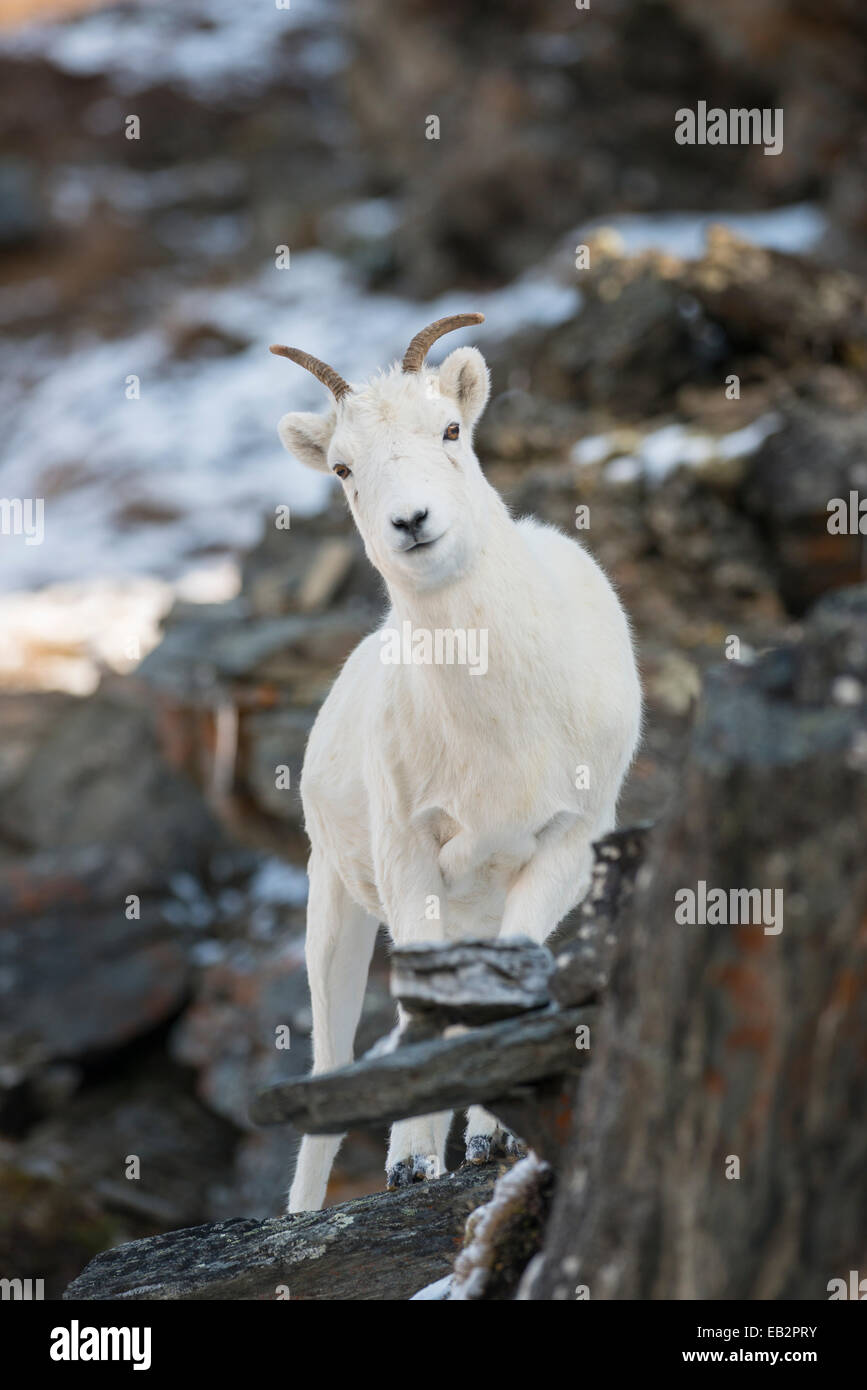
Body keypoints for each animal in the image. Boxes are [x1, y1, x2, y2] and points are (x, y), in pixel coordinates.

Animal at [271, 314, 642, 1212]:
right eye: (343, 467)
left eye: (448, 429)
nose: (411, 522)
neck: (499, 728)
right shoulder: (410, 858)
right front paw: (413, 1164)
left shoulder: (562, 846)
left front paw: (491, 1142)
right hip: (335, 908)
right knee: (328, 1068)